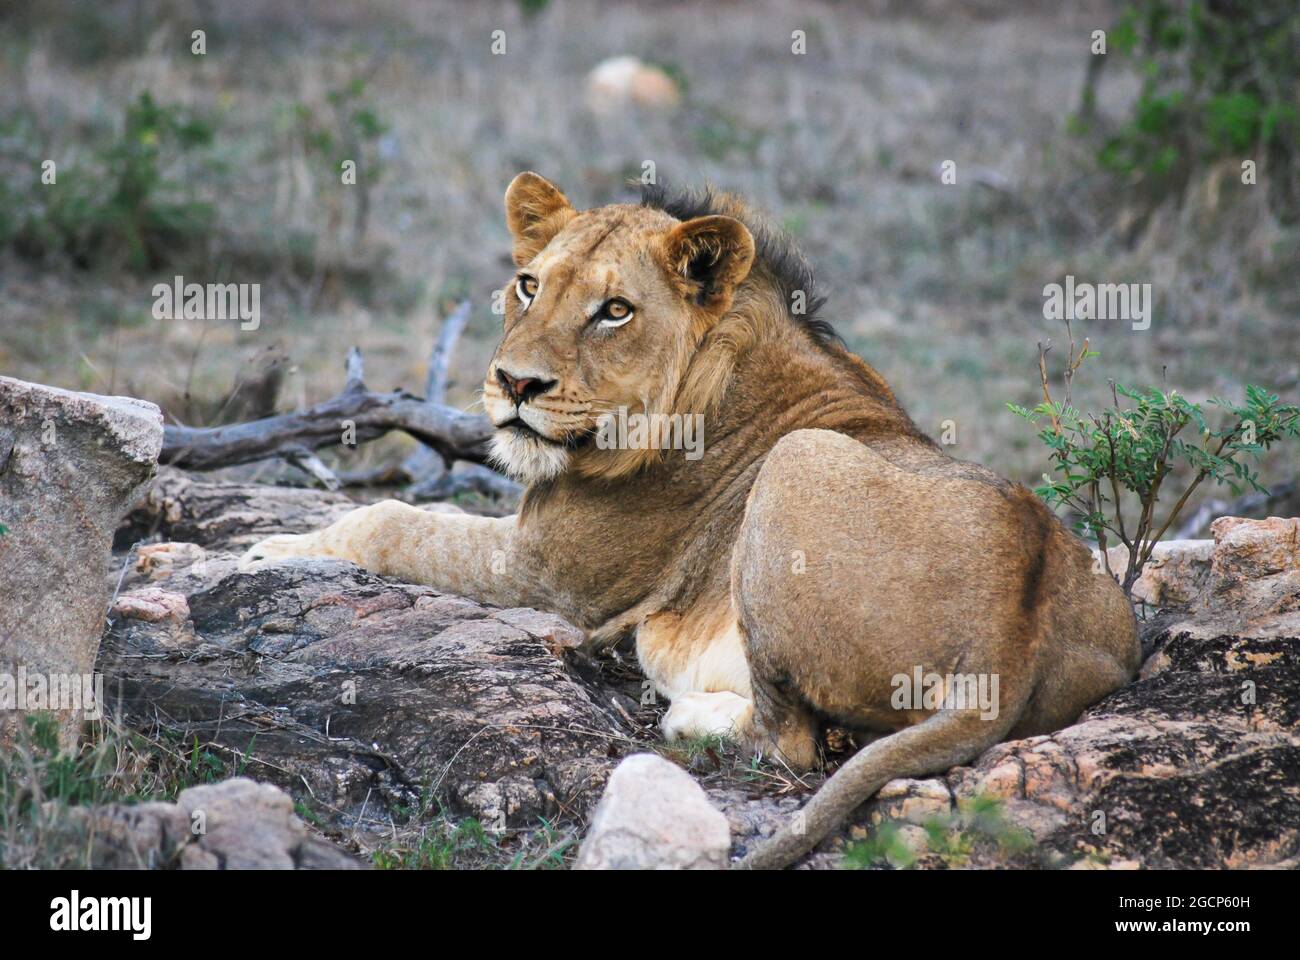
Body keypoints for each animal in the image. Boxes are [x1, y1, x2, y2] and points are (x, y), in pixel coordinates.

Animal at [242, 172, 1141, 869]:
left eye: (614, 310)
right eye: (529, 284)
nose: (514, 383)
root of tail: (1010, 637)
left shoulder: (548, 575)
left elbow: (389, 517)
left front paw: (263, 550)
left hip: (797, 466)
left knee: (791, 741)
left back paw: (684, 708)